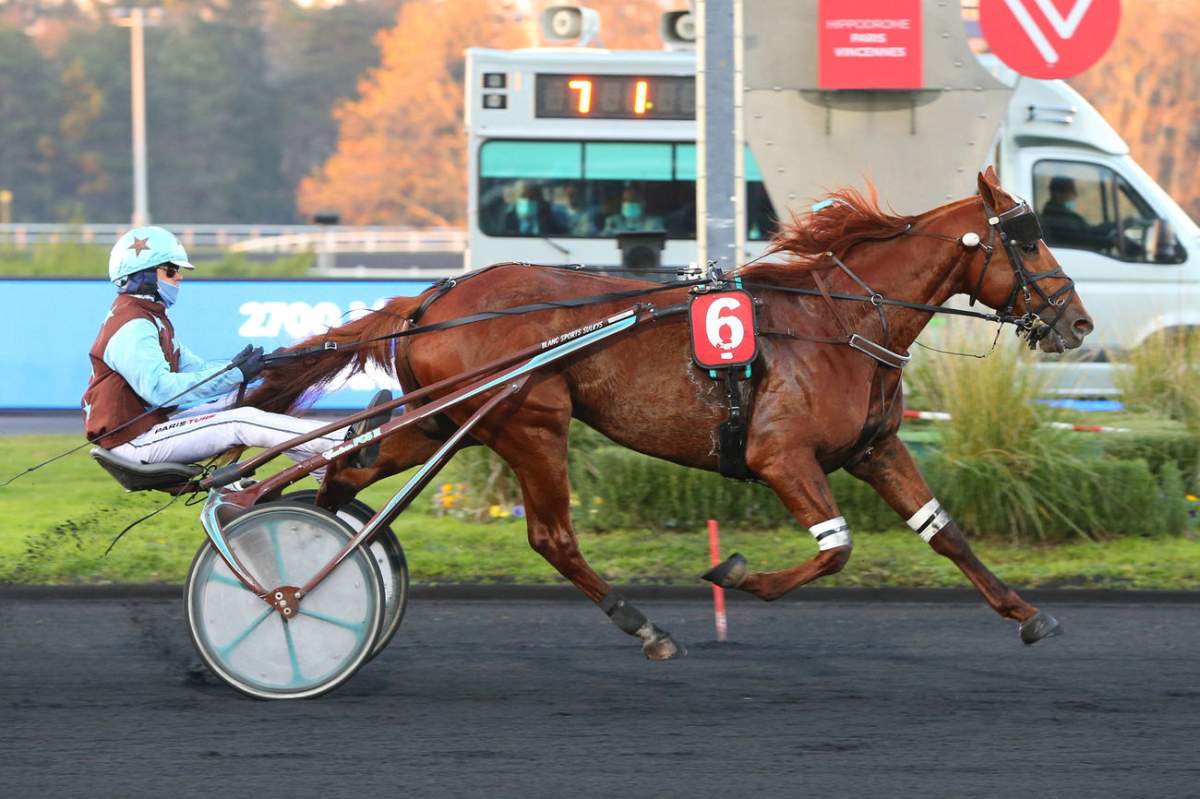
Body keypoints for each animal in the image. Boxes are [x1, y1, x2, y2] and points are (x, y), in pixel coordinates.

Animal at [245, 168, 1093, 660]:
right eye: (1028, 242)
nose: (1077, 322)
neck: (840, 320)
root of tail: (436, 297)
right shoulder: (781, 455)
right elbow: (835, 548)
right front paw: (737, 572)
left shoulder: (876, 447)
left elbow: (943, 531)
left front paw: (1027, 611)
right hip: (530, 422)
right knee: (552, 536)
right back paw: (641, 623)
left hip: (440, 418)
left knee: (348, 471)